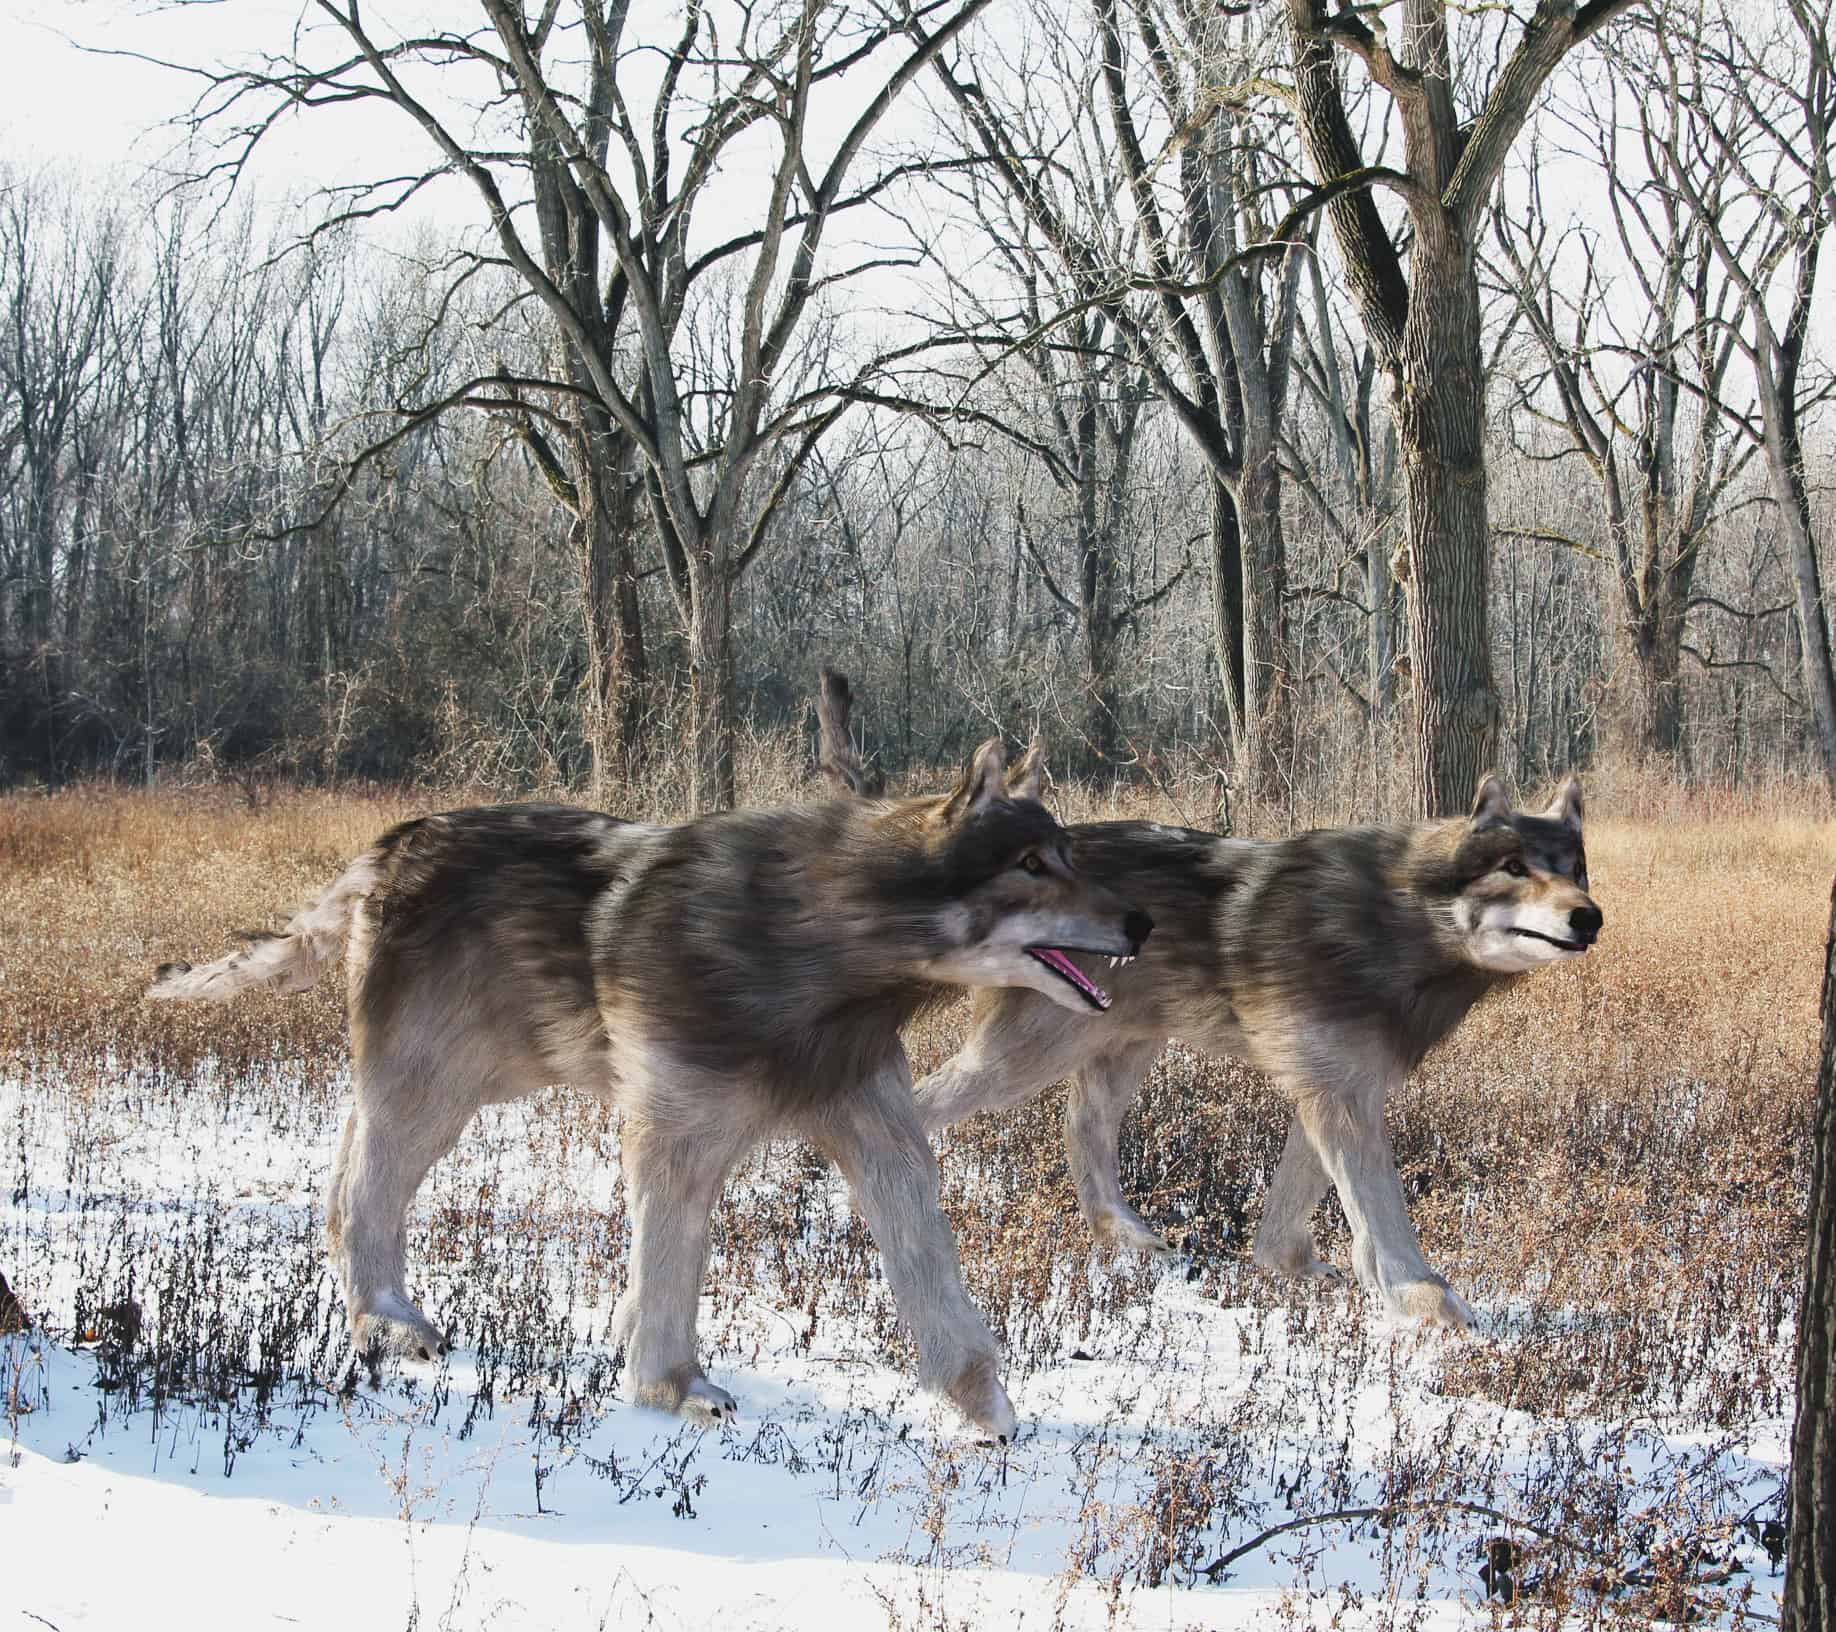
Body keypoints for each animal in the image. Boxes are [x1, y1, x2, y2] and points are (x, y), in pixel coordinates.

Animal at [147, 740, 1152, 1438]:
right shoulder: (672, 1141)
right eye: (1032, 865)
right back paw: (385, 1322)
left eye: (1071, 853)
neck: (820, 949)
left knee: (343, 1175)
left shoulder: (883, 1137)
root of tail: (388, 846)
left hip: (459, 1088)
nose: (1144, 921)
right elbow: (672, 1268)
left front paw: (984, 1405)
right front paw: (672, 1388)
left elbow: (929, 1272)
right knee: (366, 1195)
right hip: (431, 1096)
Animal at [912, 775, 1601, 1330]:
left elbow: (1295, 1208)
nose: (1589, 917)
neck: (1394, 923)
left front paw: (1294, 1273)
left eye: (1576, 869)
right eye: (1514, 867)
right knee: (920, 1103)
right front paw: (1427, 1304)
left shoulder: (1337, 1087)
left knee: (1081, 1127)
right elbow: (1384, 1215)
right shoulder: (1338, 1095)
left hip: (1123, 1049)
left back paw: (1132, 1241)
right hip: (1024, 1061)